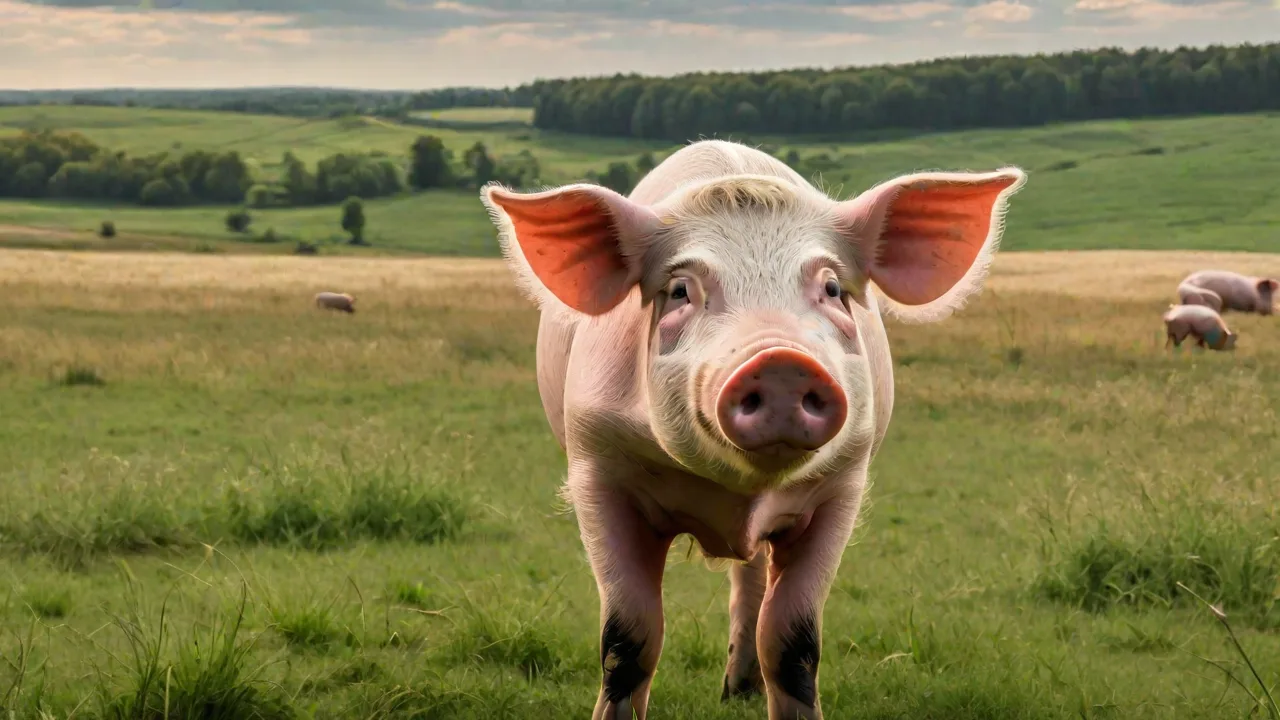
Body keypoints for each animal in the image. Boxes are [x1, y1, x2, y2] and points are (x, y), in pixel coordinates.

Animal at [480, 139, 1027, 720]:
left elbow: (793, 640)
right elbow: (629, 638)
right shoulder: (598, 468)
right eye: (680, 289)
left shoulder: (842, 484)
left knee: (751, 579)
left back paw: (737, 691)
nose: (782, 361)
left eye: (833, 287)